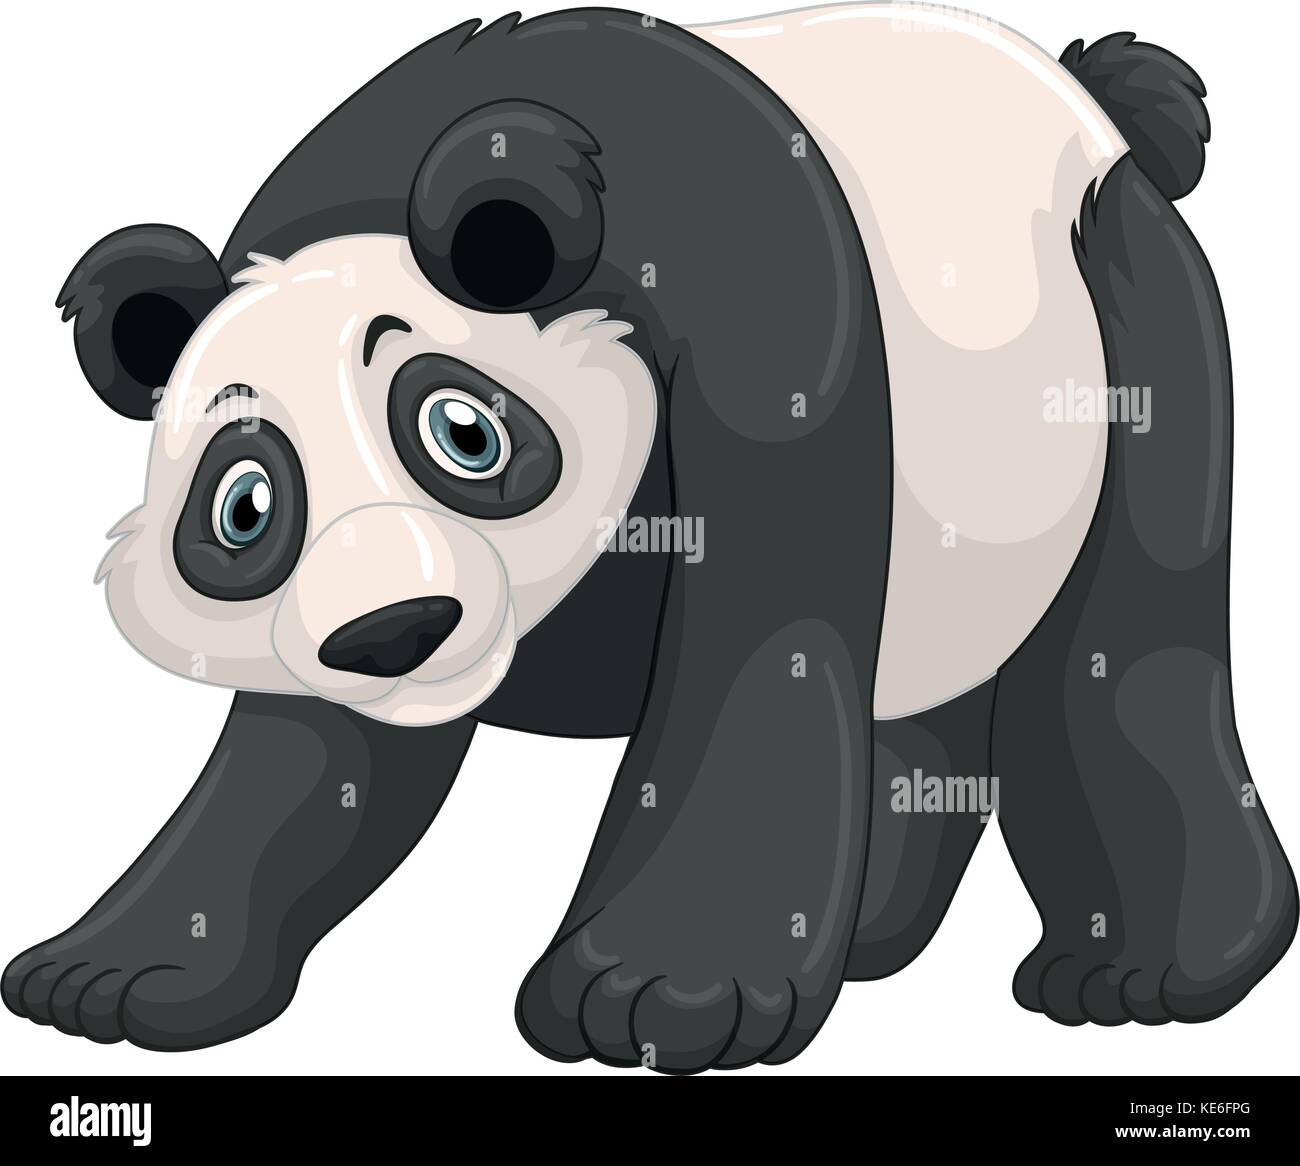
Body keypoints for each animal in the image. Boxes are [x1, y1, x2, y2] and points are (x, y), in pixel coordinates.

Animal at [4, 4, 1295, 1074]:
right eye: (244, 506)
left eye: (462, 430)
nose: (396, 630)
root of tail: (1091, 97)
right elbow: (309, 762)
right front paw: (112, 971)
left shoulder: (770, 324)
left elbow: (761, 651)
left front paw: (657, 991)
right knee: (920, 674)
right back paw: (872, 922)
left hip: (1124, 322)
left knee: (1123, 647)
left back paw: (1143, 968)